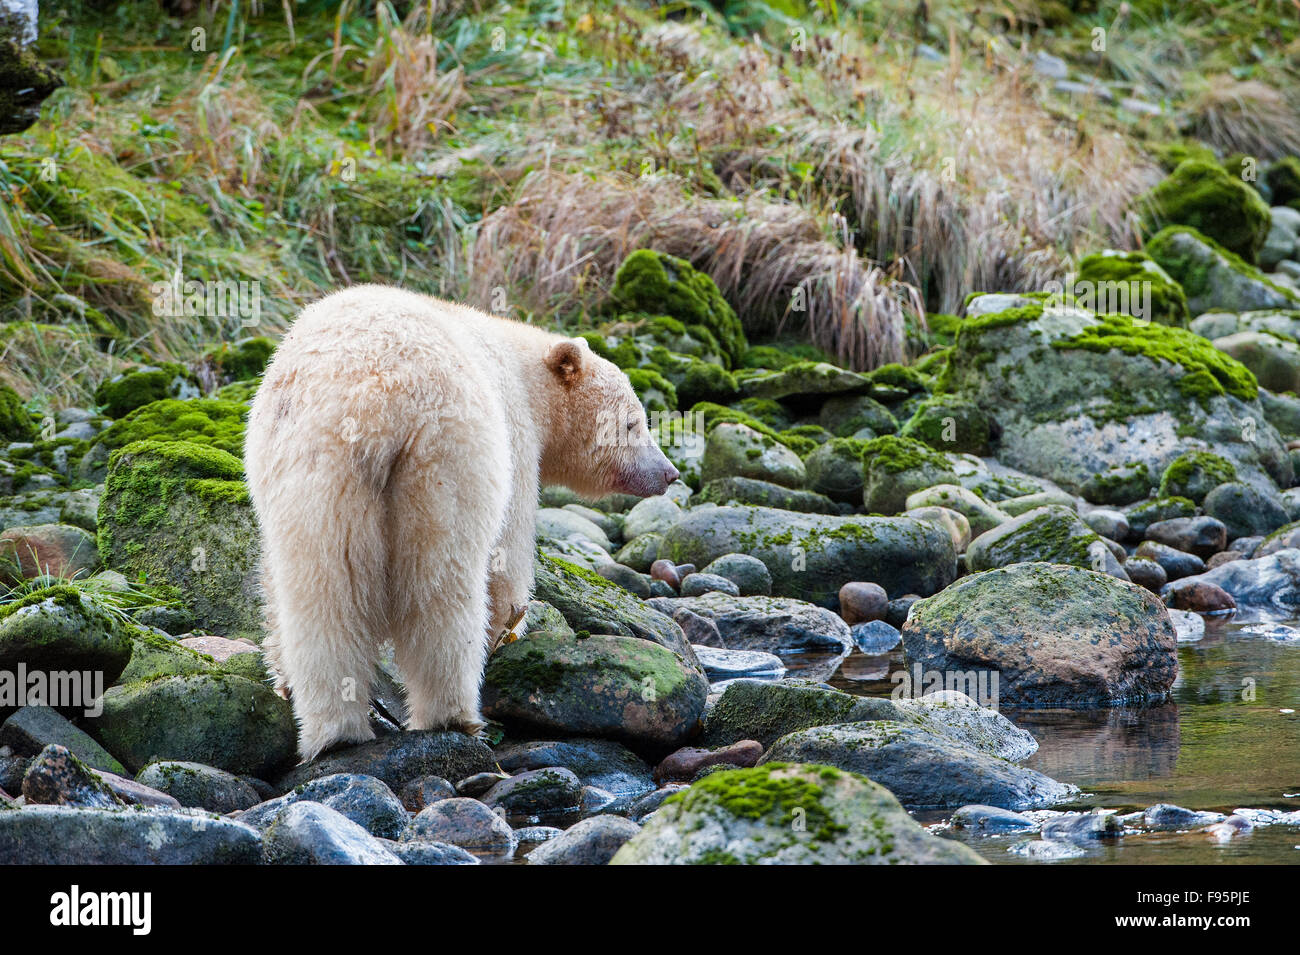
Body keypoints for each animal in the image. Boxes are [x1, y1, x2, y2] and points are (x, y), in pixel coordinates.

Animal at [244, 285, 680, 761]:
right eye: (632, 422)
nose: (669, 473)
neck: (525, 373)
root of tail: (375, 400)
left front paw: (282, 679)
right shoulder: (515, 439)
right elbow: (508, 558)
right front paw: (511, 630)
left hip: (314, 469)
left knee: (322, 591)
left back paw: (333, 731)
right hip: (445, 459)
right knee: (442, 591)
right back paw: (452, 716)